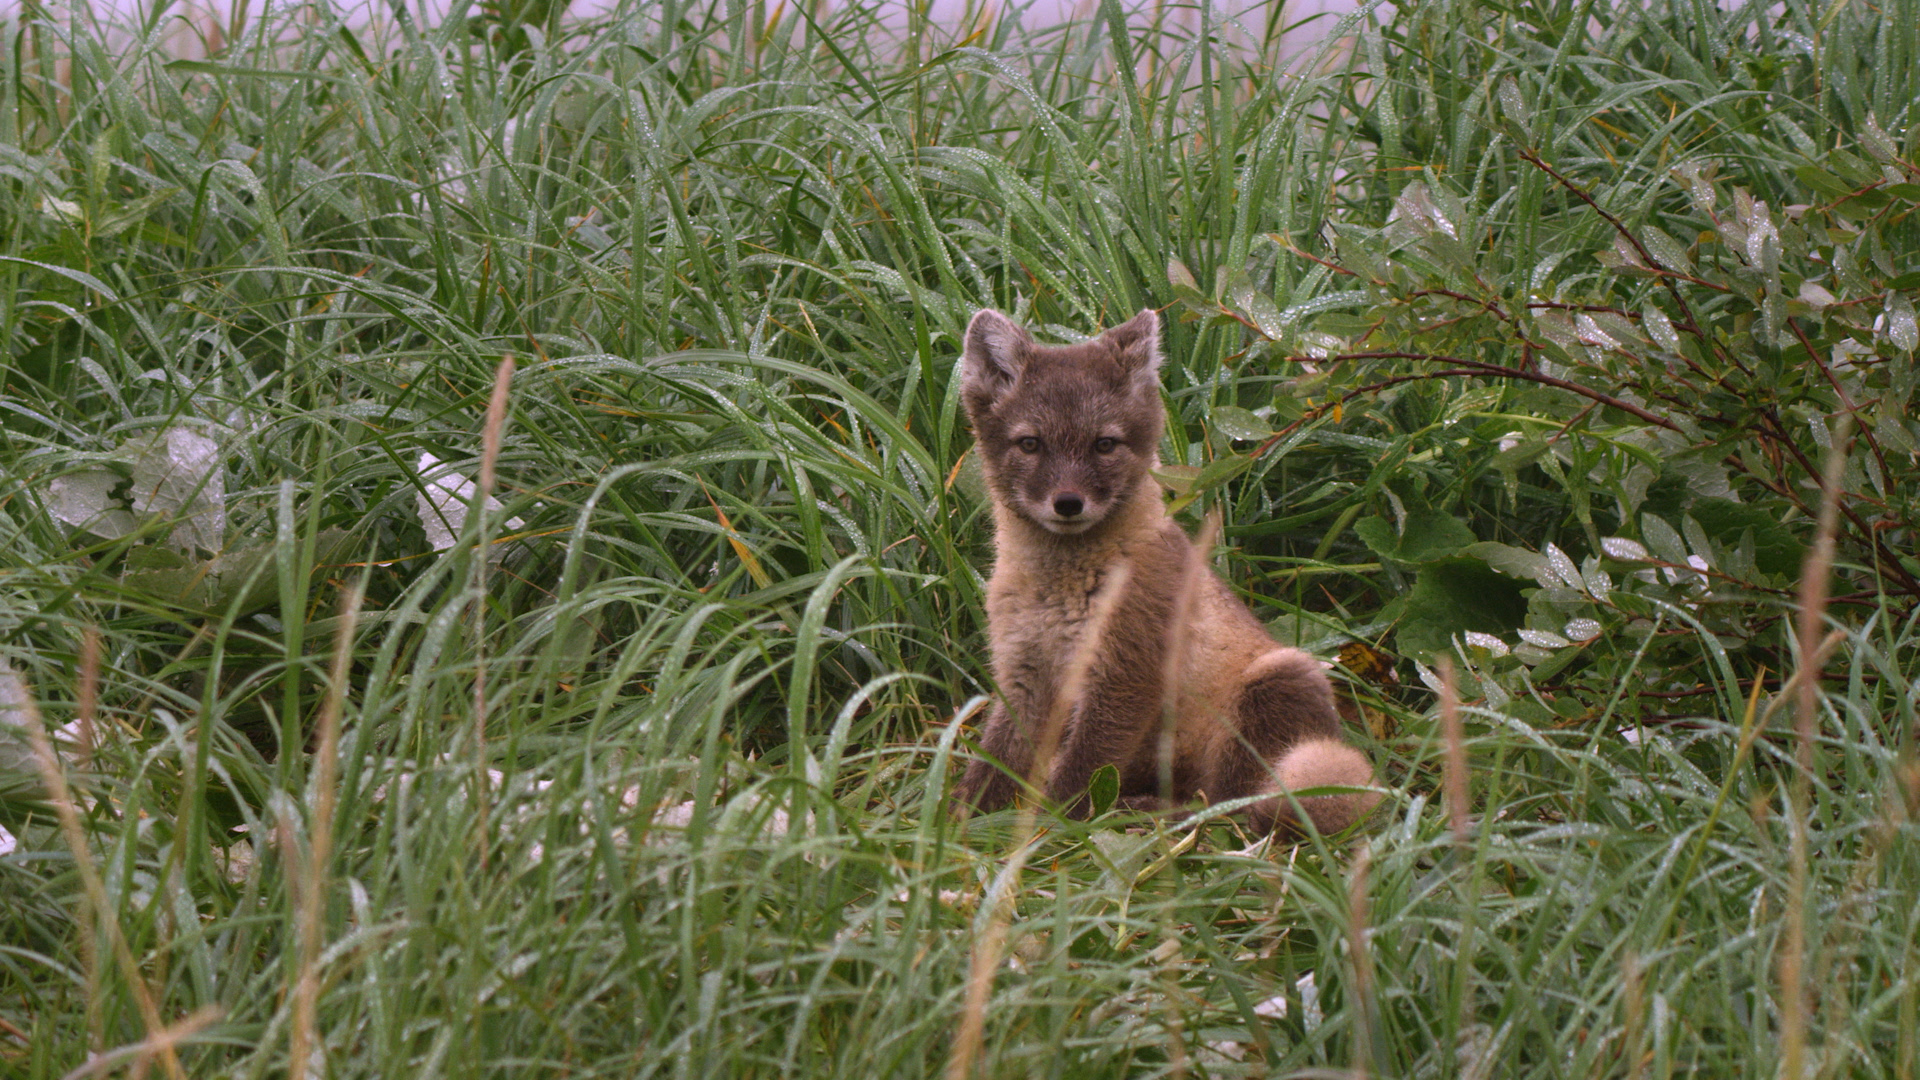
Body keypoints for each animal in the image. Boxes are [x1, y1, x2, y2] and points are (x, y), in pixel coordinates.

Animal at [950, 306, 1380, 838]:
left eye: (1104, 444)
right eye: (1030, 443)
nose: (1068, 503)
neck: (1061, 591)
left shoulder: (1126, 674)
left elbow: (1079, 775)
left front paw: (1051, 831)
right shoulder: (1024, 674)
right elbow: (993, 763)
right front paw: (957, 823)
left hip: (1276, 685)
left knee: (1231, 811)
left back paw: (1149, 817)